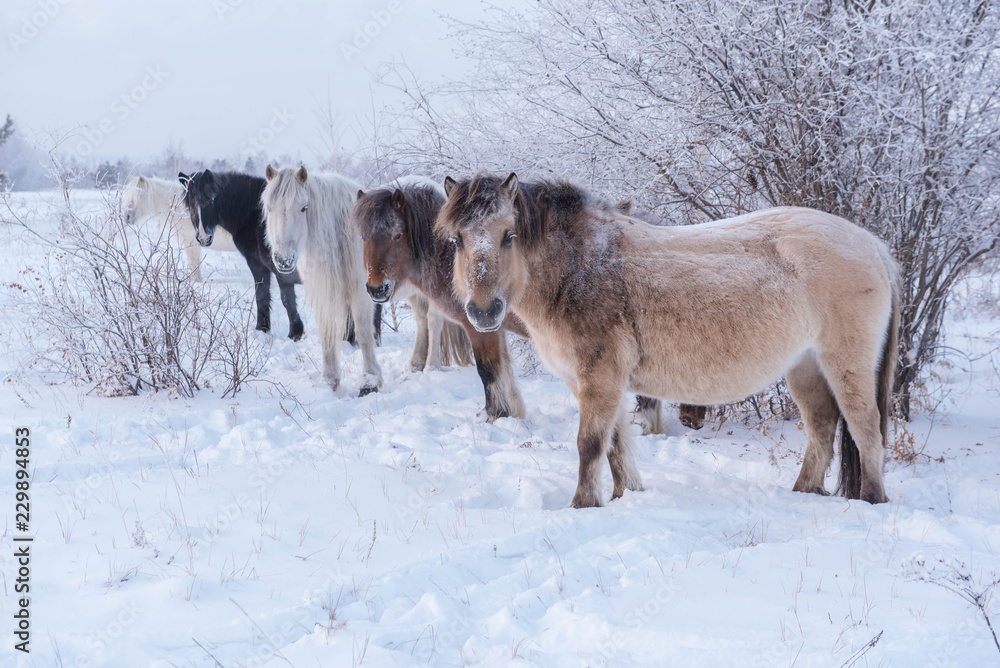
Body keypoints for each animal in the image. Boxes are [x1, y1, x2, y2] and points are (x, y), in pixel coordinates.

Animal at [179, 170, 306, 341]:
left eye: (211, 200)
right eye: (190, 205)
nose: (204, 238)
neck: (253, 216)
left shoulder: (266, 265)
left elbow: (283, 299)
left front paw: (294, 333)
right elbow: (263, 296)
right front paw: (263, 329)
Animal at [260, 165, 383, 396]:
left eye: (303, 208)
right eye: (270, 209)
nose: (283, 260)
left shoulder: (361, 292)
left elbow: (363, 331)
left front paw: (370, 381)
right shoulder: (324, 290)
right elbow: (326, 332)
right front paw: (329, 380)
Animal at [352, 176, 525, 419]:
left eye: (397, 235)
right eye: (364, 237)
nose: (377, 289)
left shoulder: (481, 327)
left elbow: (488, 371)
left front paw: (496, 415)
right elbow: (505, 373)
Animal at [437, 172, 900, 508]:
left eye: (509, 235)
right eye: (457, 240)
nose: (483, 312)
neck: (579, 267)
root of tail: (874, 247)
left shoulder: (599, 377)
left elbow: (589, 444)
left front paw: (581, 505)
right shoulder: (591, 382)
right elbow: (615, 446)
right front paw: (624, 497)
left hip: (846, 365)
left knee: (865, 430)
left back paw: (871, 501)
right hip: (805, 366)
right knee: (821, 428)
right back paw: (803, 493)